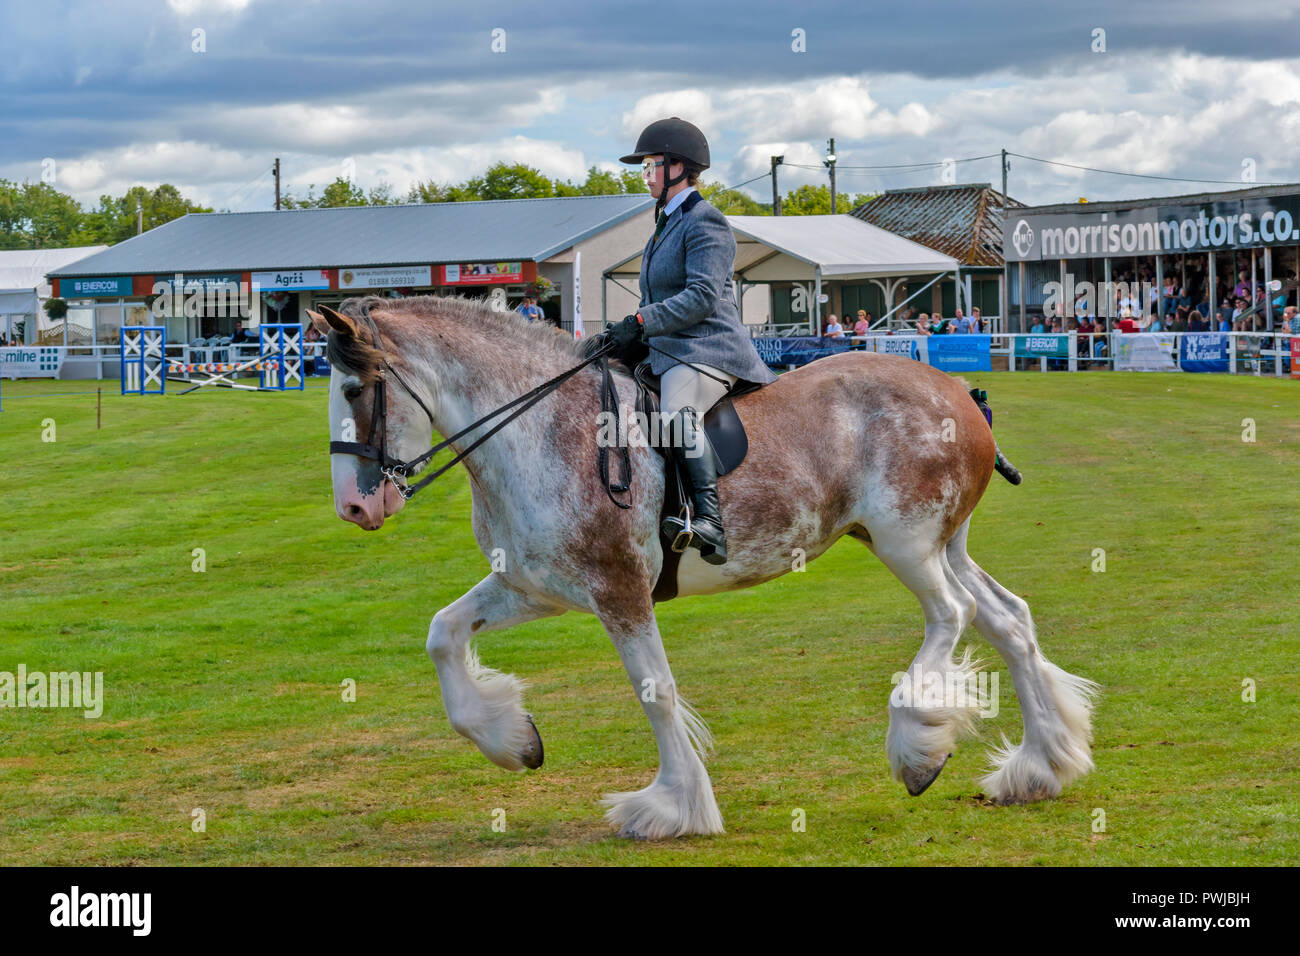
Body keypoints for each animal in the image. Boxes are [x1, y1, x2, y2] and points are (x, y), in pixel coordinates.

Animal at [311, 295, 1099, 840]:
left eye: (353, 391)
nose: (354, 507)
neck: (538, 431)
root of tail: (957, 391)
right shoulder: (533, 586)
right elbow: (443, 635)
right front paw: (512, 741)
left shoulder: (618, 590)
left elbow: (655, 692)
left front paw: (672, 807)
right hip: (933, 542)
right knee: (1008, 621)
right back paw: (1039, 767)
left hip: (907, 543)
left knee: (952, 615)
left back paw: (918, 748)